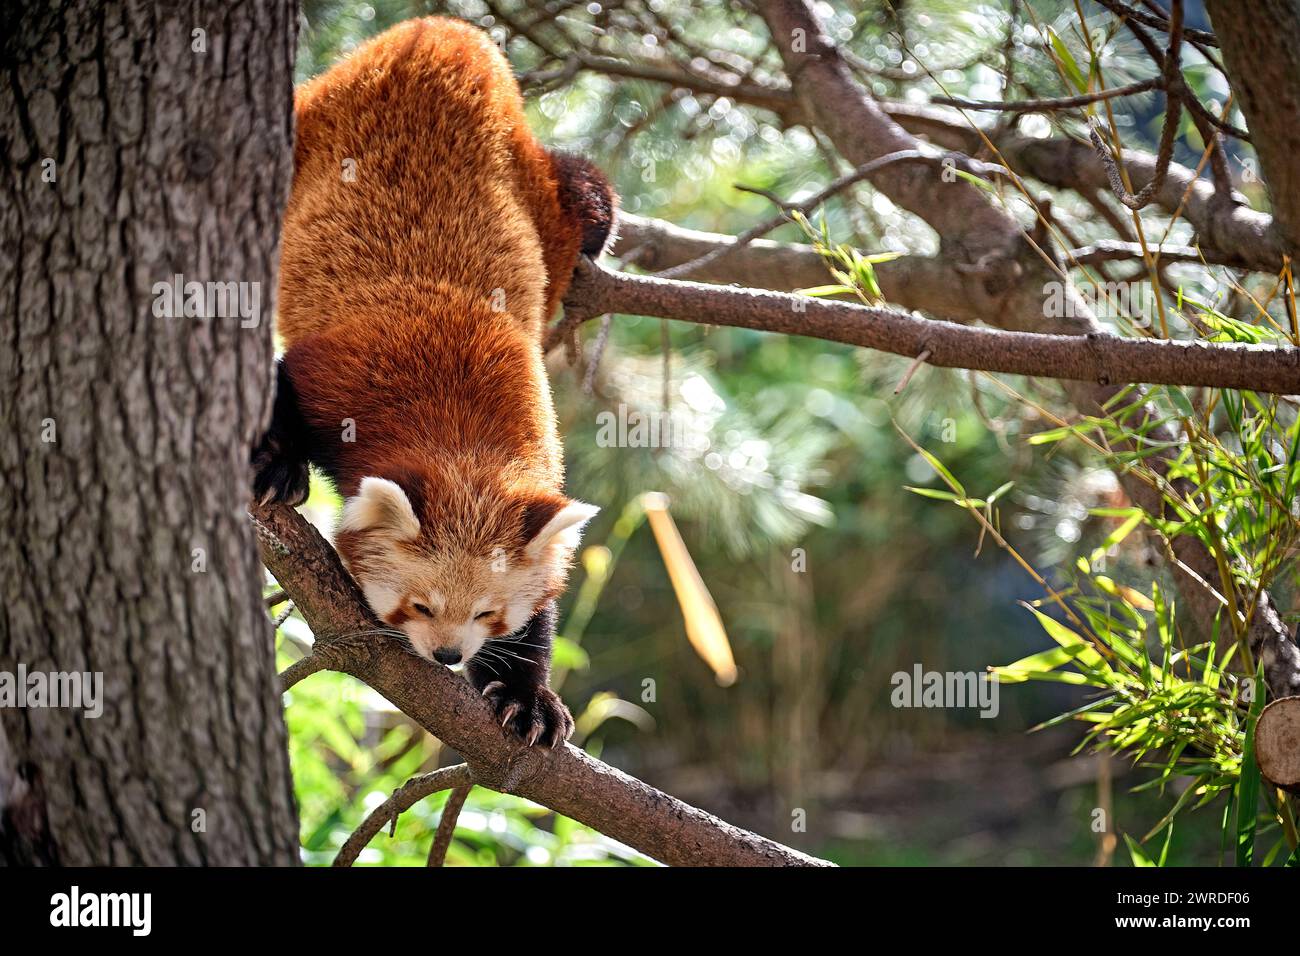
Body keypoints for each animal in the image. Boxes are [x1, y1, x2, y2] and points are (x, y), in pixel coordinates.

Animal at [252, 17, 616, 748]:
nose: (447, 655)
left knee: (592, 197)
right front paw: (278, 464)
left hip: (547, 191)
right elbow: (283, 385)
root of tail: (441, 34)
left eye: (487, 615)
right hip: (306, 125)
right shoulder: (335, 375)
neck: (460, 437)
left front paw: (527, 694)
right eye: (418, 604)